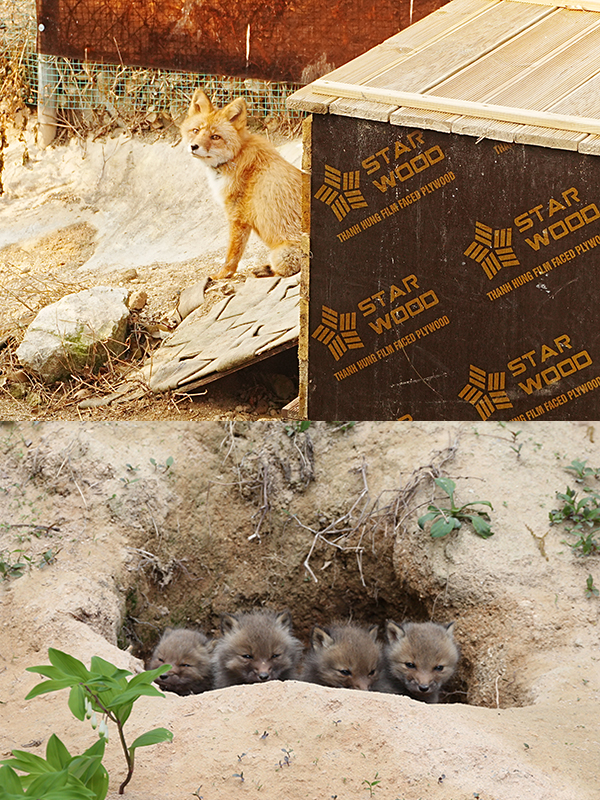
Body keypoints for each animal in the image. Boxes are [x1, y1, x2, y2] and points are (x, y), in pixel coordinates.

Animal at [180, 88, 302, 280]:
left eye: (215, 137)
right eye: (195, 130)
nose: (194, 146)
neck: (236, 156)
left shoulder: (238, 217)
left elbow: (232, 256)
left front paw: (221, 276)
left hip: (283, 255)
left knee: (286, 271)